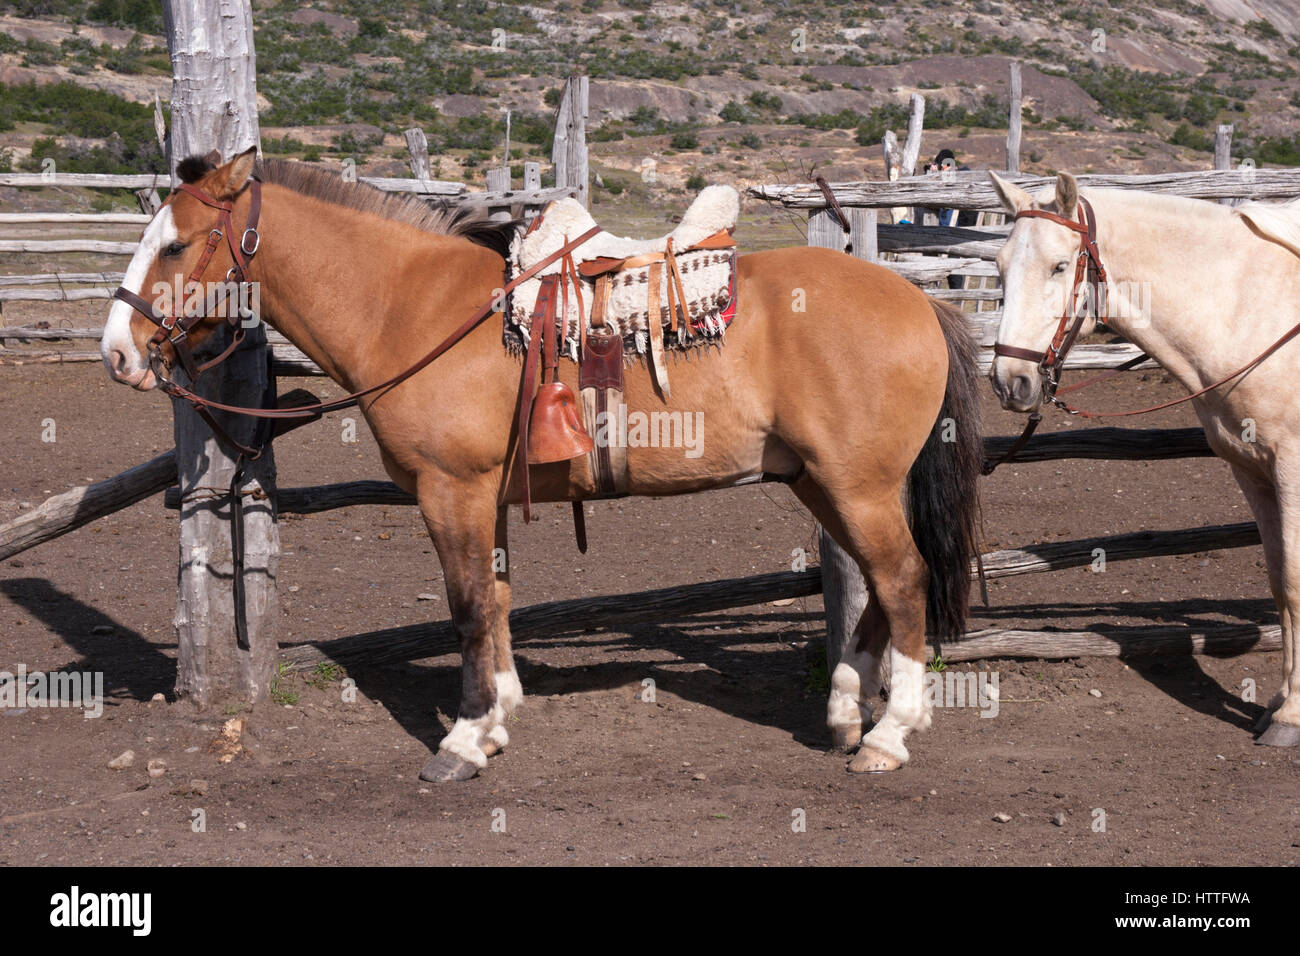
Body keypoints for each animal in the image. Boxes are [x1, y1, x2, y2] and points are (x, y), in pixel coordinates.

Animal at [101, 147, 983, 781]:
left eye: (175, 244)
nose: (117, 352)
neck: (410, 308)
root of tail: (922, 300)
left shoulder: (450, 491)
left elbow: (465, 608)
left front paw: (461, 742)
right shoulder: (483, 497)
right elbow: (495, 599)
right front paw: (495, 722)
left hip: (858, 485)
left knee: (902, 579)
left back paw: (889, 735)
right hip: (822, 482)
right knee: (879, 584)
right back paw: (846, 713)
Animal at [988, 169, 1300, 748]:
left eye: (1059, 266)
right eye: (998, 267)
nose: (1009, 382)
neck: (1252, 311)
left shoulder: (1292, 470)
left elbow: (1293, 579)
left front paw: (1292, 717)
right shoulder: (1253, 471)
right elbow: (1277, 580)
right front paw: (1278, 704)